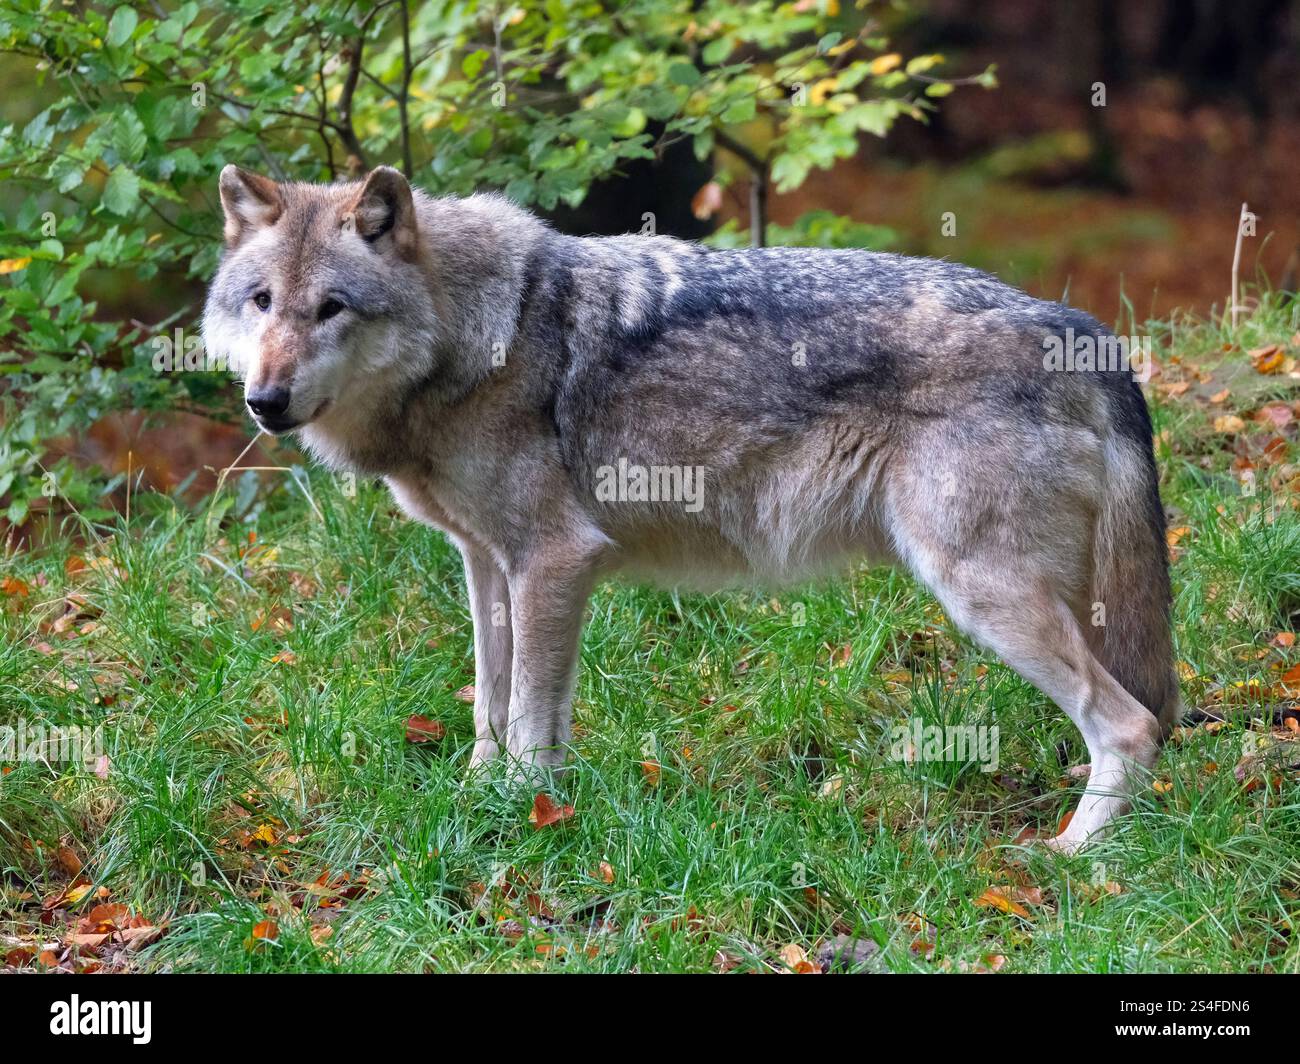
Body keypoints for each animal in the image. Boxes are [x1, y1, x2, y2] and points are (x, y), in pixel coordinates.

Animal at [203, 165, 1179, 852]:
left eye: (332, 308)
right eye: (262, 303)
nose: (265, 401)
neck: (483, 336)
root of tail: (1083, 329)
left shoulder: (555, 560)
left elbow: (528, 719)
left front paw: (522, 822)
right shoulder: (488, 562)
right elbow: (493, 704)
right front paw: (482, 800)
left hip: (982, 594)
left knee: (1132, 723)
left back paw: (1075, 854)